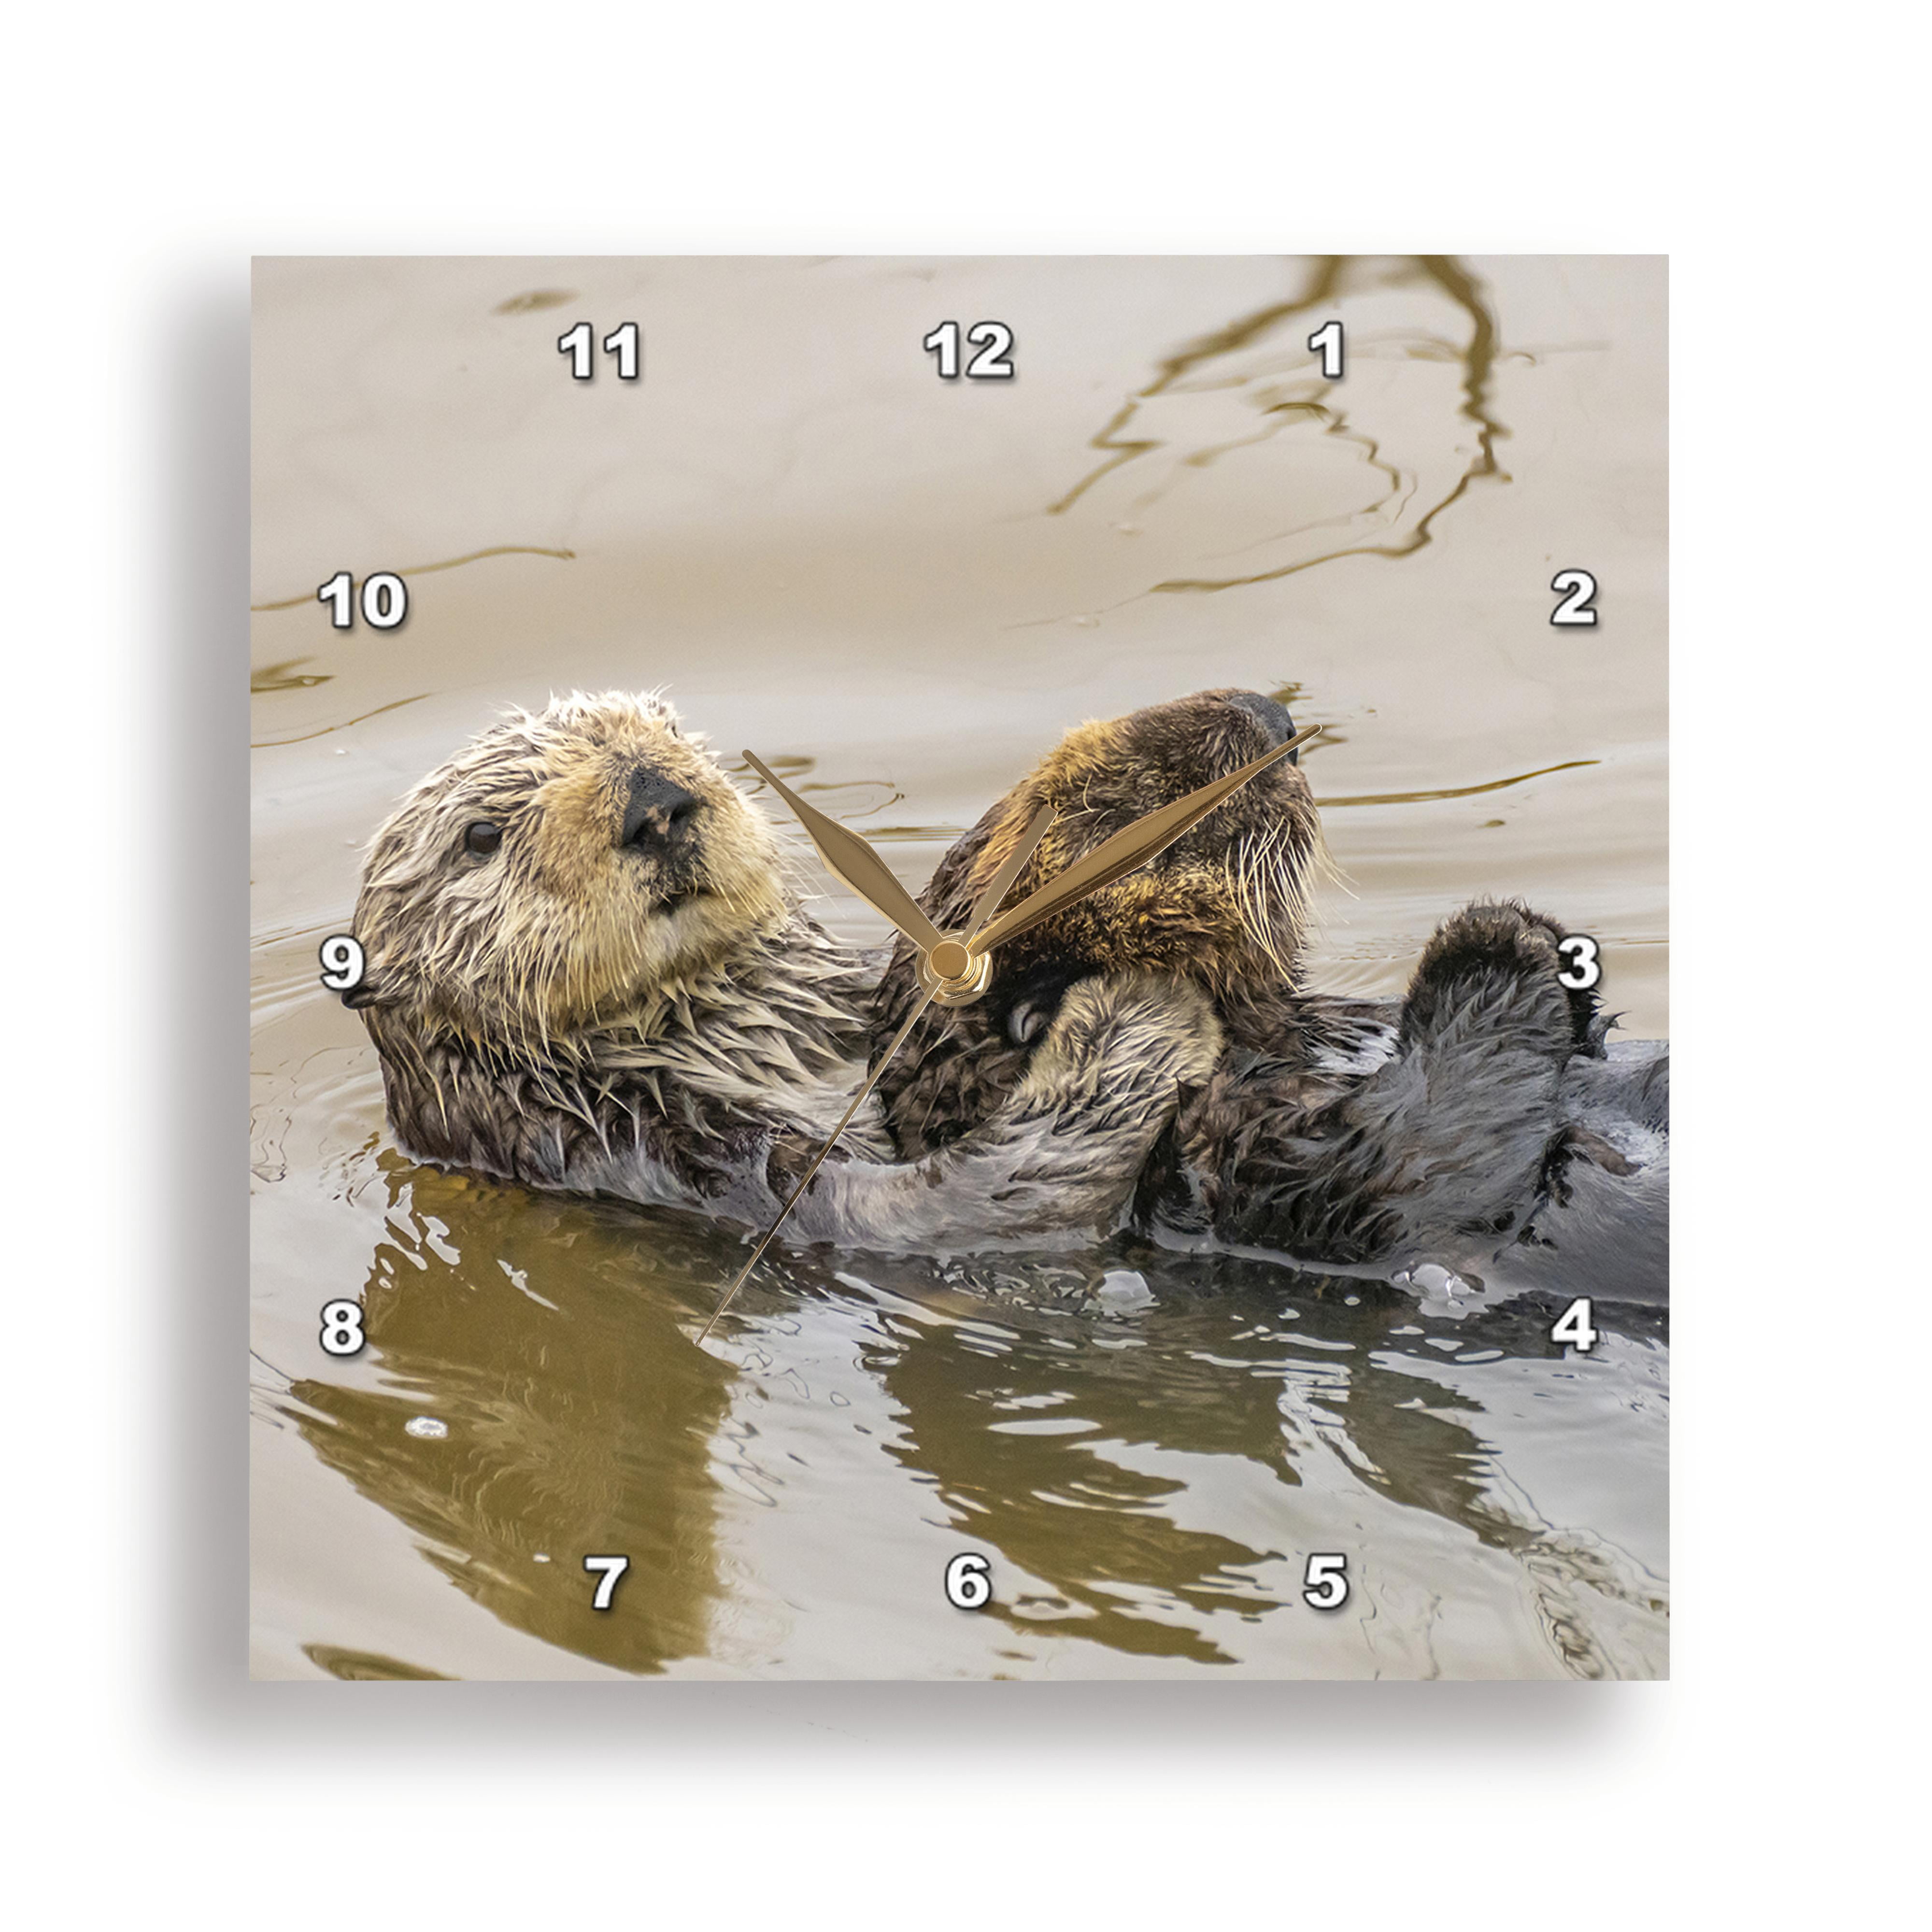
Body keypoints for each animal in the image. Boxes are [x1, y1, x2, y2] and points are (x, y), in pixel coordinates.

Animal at [341, 691, 1225, 1252]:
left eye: (669, 731)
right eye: (482, 837)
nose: (654, 804)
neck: (764, 1037)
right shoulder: (684, 1155)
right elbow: (974, 1198)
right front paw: (1139, 1011)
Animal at [871, 689, 1669, 1301]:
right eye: (1126, 807)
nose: (1275, 717)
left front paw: (1551, 944)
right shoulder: (1254, 1164)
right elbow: (1431, 1155)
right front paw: (1494, 938)